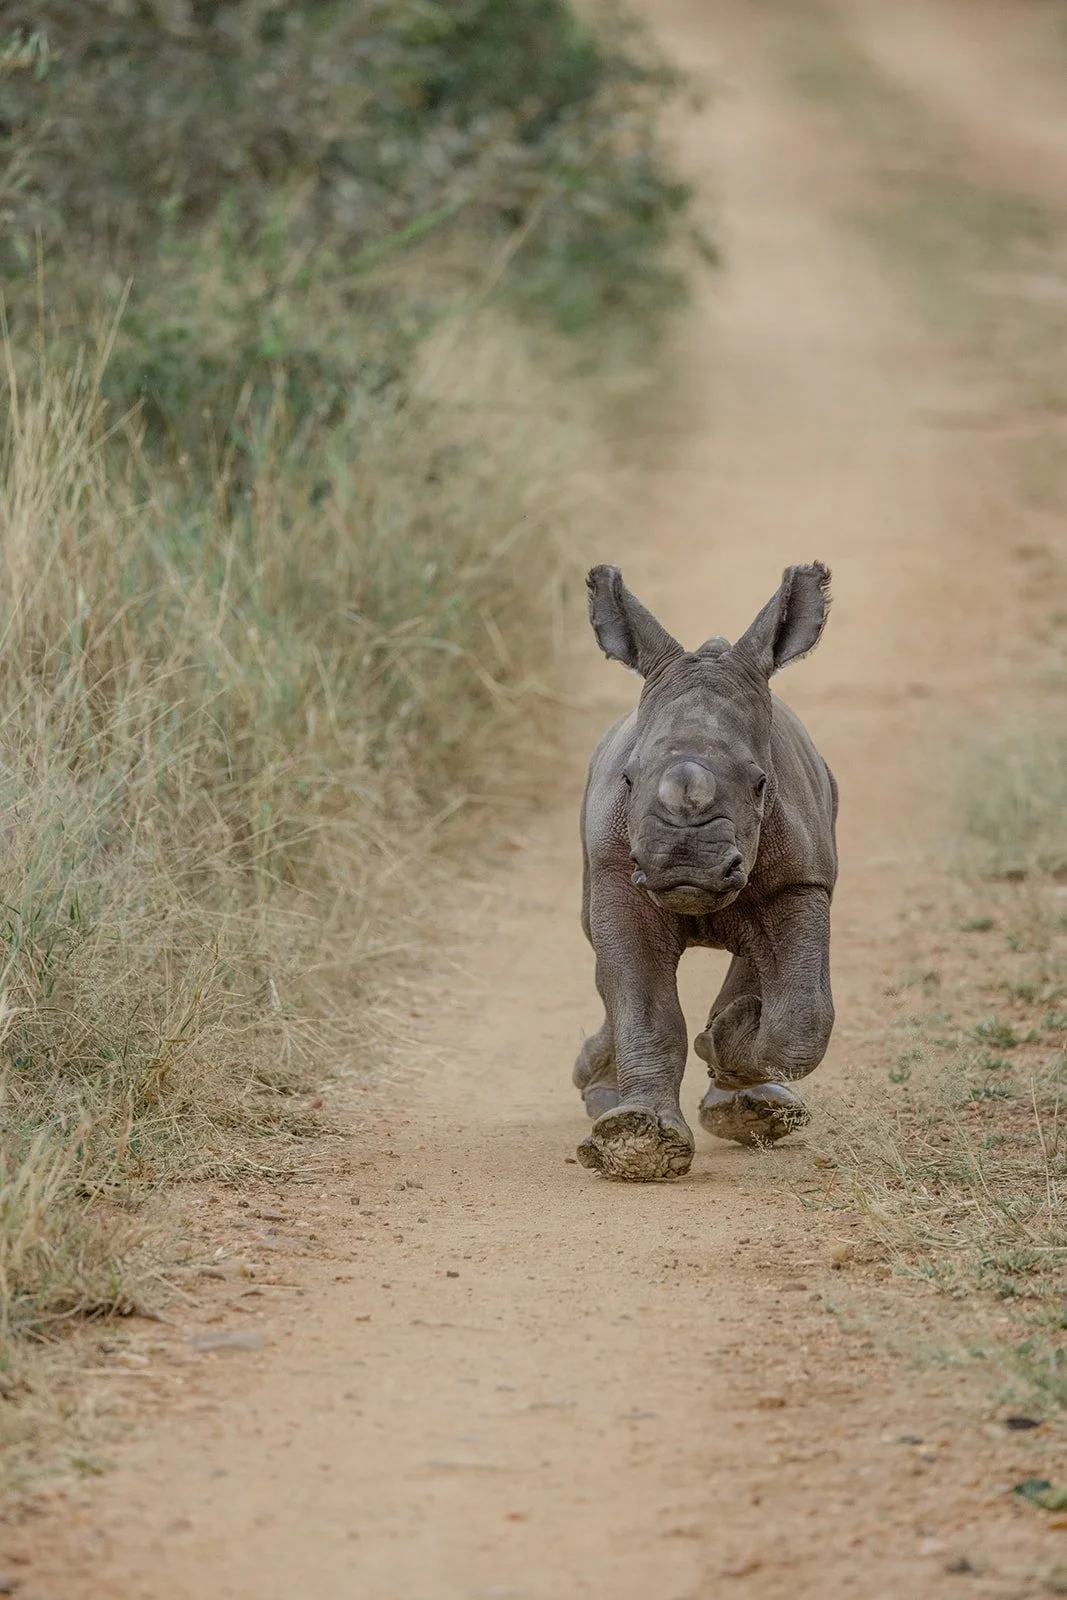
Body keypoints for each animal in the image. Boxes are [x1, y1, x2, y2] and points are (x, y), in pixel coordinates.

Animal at [574, 562, 838, 1181]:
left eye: (762, 783)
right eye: (629, 780)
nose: (685, 861)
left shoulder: (803, 881)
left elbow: (802, 1014)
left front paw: (726, 1041)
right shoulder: (617, 877)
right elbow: (644, 1006)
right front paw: (638, 1142)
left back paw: (754, 1104)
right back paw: (600, 1092)